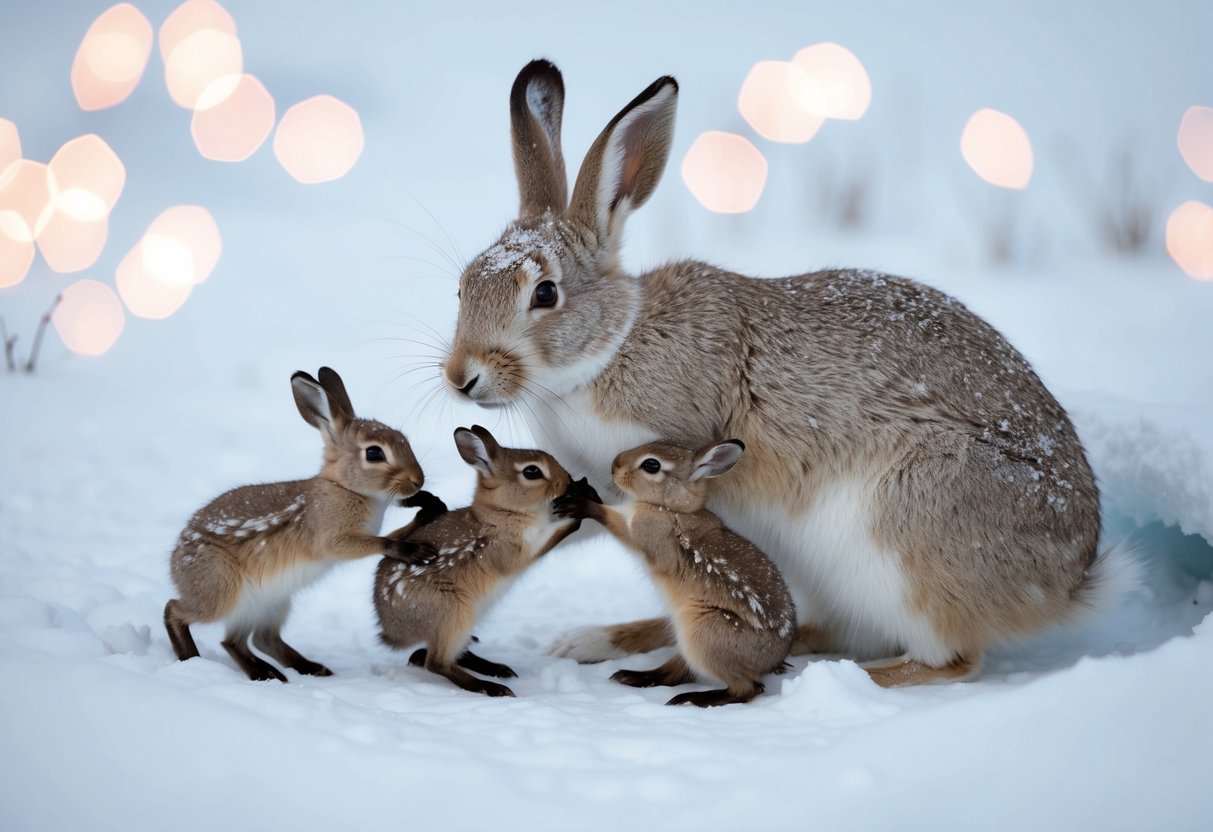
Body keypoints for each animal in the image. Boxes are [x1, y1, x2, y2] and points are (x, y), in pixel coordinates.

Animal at [164, 367, 447, 682]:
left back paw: (294, 670)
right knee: (175, 611)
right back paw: (192, 660)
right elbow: (381, 542)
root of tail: (176, 561)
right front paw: (415, 551)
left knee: (247, 640)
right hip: (220, 591)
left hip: (269, 603)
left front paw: (431, 506)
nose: (417, 481)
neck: (343, 487)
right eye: (374, 453)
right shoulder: (335, 538)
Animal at [374, 425, 600, 697]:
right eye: (532, 471)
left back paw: (498, 669)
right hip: (453, 611)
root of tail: (392, 631)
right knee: (437, 663)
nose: (566, 480)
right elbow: (556, 533)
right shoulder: (515, 549)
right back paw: (492, 687)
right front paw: (579, 509)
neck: (501, 513)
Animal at [555, 439, 795, 706]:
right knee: (677, 670)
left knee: (746, 688)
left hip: (705, 632)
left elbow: (613, 520)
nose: (614, 465)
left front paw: (583, 504)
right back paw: (634, 676)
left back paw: (692, 699)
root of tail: (772, 660)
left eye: (651, 464)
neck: (671, 508)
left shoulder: (647, 531)